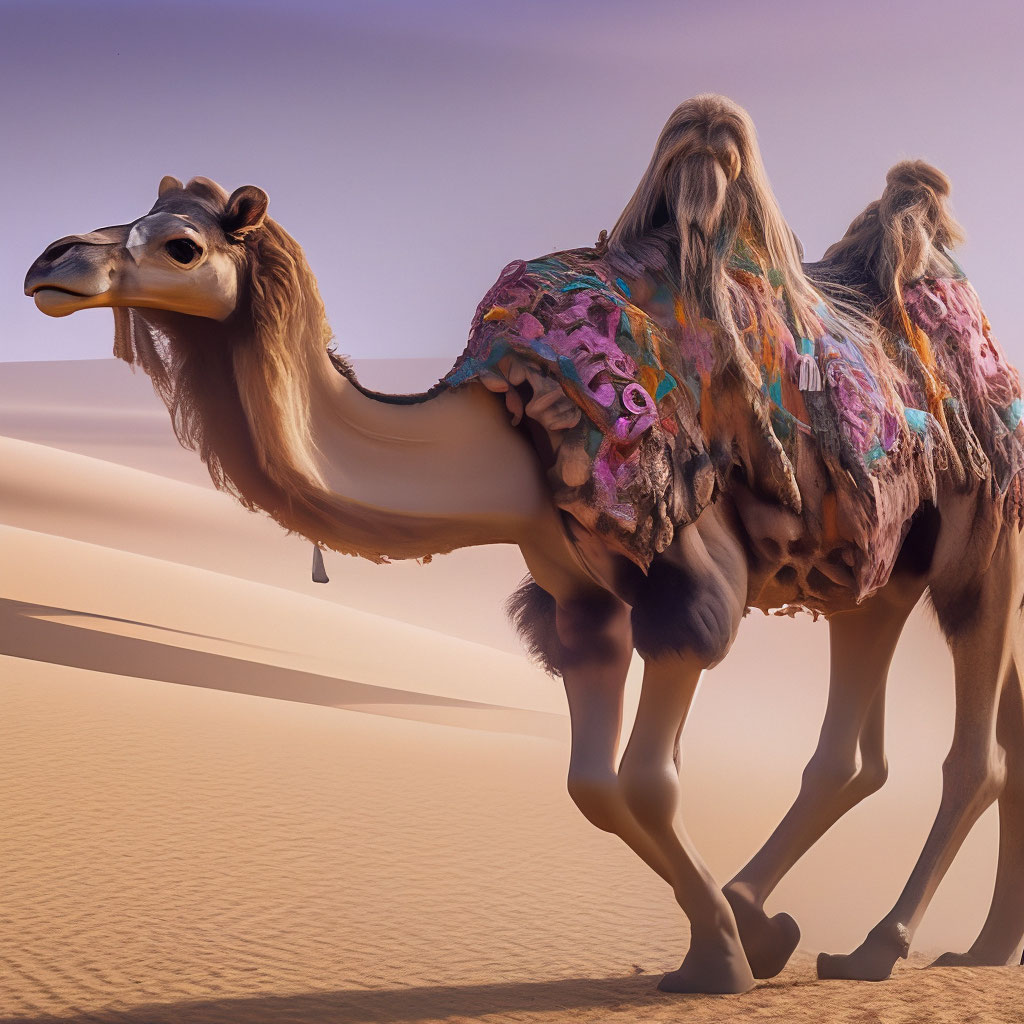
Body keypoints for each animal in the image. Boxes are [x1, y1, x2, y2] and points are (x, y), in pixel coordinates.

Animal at [24, 94, 1024, 995]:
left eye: (182, 245)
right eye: (134, 212)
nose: (51, 259)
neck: (515, 425)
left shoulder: (691, 583)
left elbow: (647, 781)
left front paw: (718, 962)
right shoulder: (578, 601)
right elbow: (594, 789)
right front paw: (750, 933)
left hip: (984, 537)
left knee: (970, 757)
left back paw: (880, 948)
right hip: (878, 569)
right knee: (863, 755)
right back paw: (961, 945)